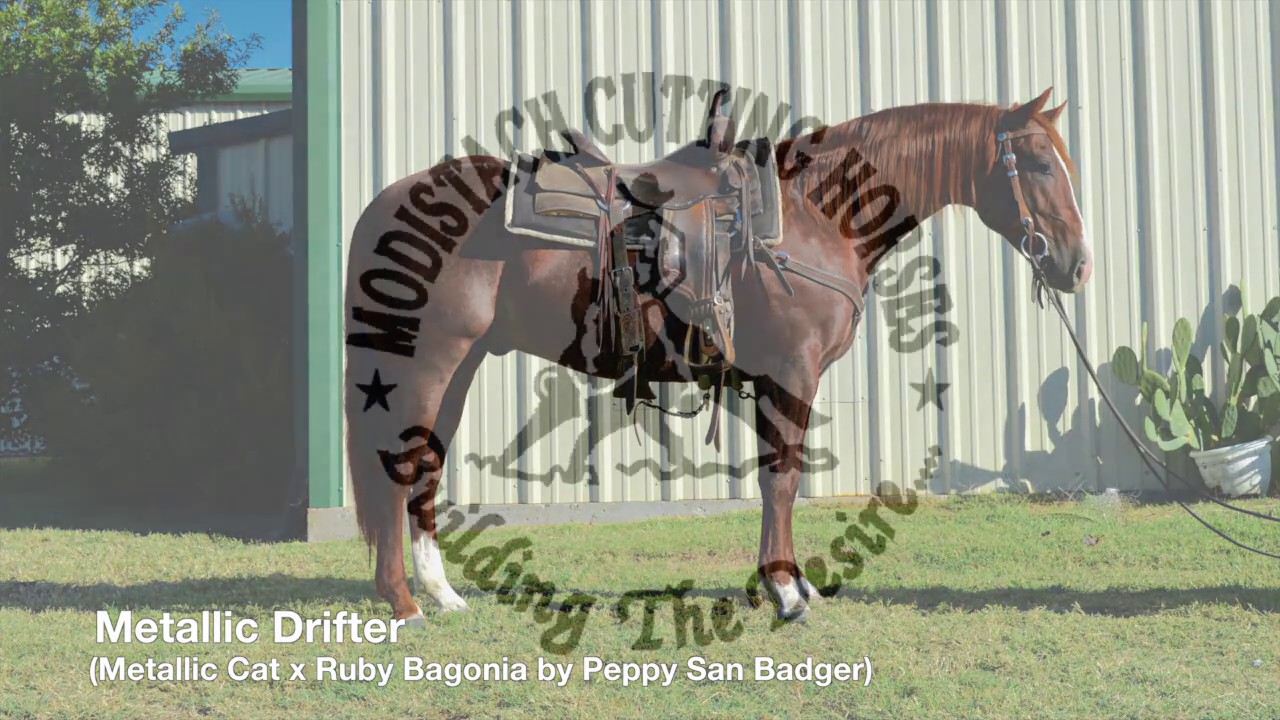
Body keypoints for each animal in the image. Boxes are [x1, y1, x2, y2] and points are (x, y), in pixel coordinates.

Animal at [343, 86, 1091, 625]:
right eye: (1040, 163)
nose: (1077, 265)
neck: (819, 214)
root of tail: (388, 202)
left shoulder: (770, 379)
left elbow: (771, 477)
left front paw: (779, 583)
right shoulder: (792, 373)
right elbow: (782, 478)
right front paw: (786, 591)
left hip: (459, 365)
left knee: (427, 466)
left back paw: (442, 594)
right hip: (429, 362)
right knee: (399, 468)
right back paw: (404, 603)